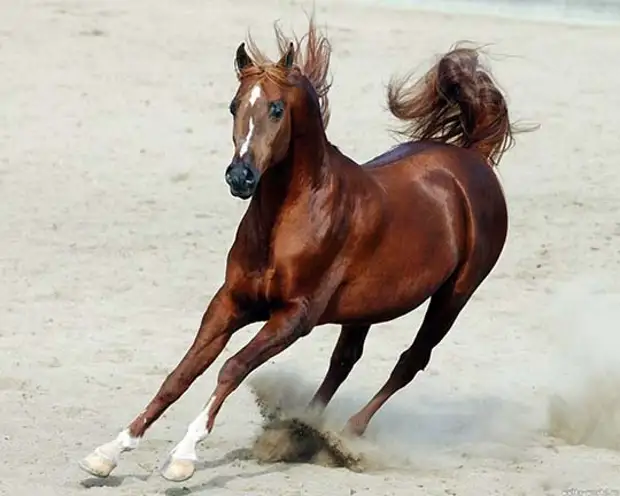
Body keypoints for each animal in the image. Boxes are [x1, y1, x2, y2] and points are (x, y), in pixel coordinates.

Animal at [80, 17, 520, 482]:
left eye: (276, 109)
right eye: (234, 106)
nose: (240, 176)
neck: (287, 219)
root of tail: (472, 159)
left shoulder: (294, 316)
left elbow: (232, 368)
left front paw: (183, 457)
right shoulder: (230, 302)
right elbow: (180, 375)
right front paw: (108, 452)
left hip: (454, 296)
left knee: (410, 360)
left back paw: (345, 435)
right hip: (368, 307)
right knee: (344, 360)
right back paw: (302, 429)